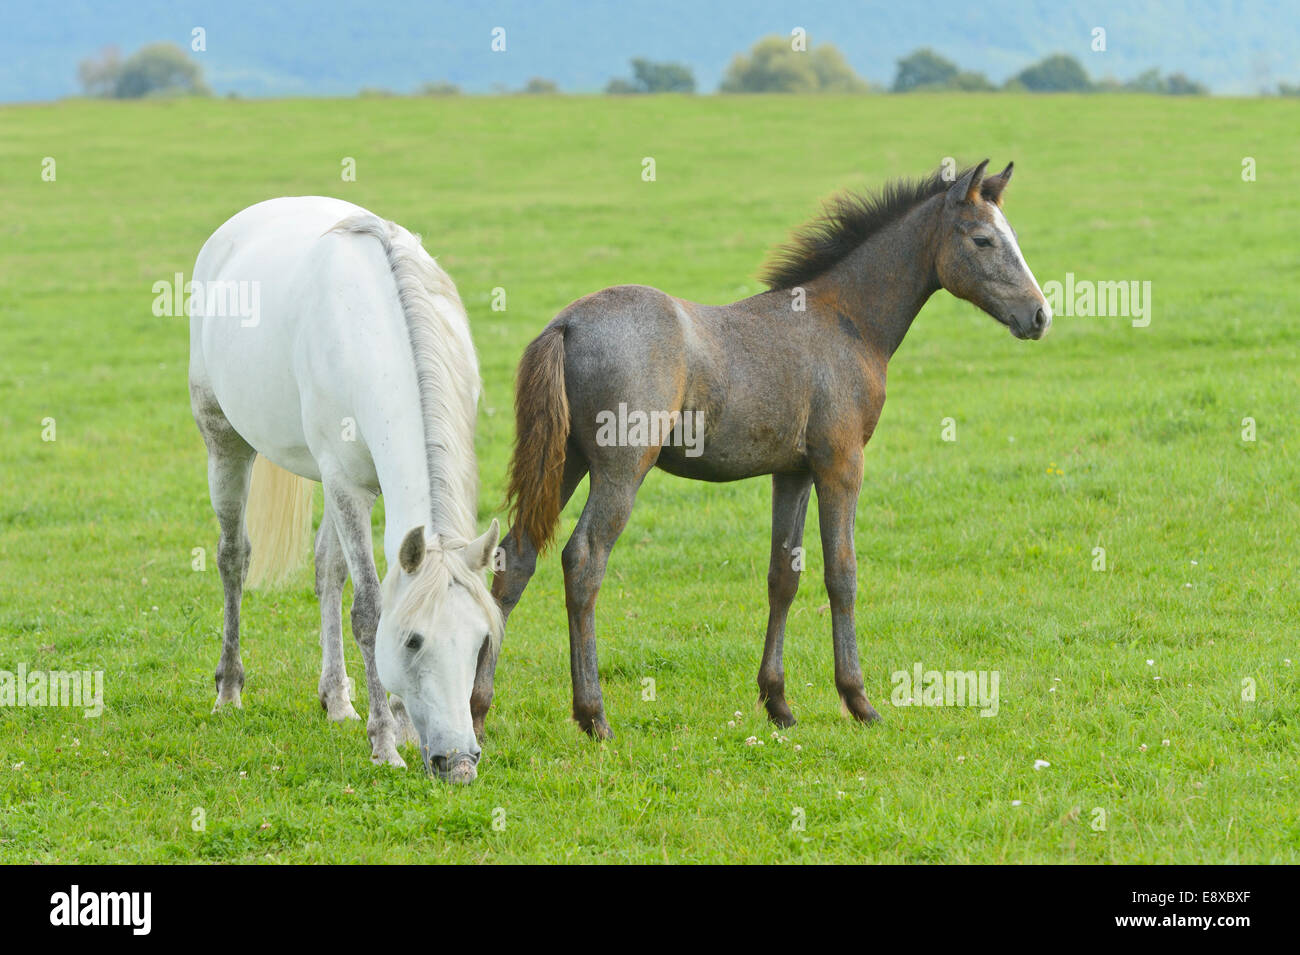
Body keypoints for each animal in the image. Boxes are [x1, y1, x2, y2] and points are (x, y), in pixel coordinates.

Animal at [189, 196, 501, 783]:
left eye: (481, 641)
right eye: (413, 640)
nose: (458, 763)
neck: (377, 337)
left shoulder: (354, 485)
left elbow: (348, 582)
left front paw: (395, 723)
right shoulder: (346, 485)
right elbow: (369, 610)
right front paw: (386, 742)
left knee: (327, 570)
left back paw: (336, 699)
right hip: (224, 440)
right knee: (233, 557)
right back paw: (229, 690)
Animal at [476, 160, 1051, 740]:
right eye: (982, 239)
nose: (1040, 315)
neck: (846, 320)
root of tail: (567, 324)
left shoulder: (793, 472)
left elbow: (783, 575)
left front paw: (778, 702)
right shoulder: (841, 464)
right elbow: (842, 574)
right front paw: (859, 700)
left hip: (566, 463)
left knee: (516, 557)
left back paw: (477, 712)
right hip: (621, 469)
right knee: (584, 559)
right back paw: (593, 715)